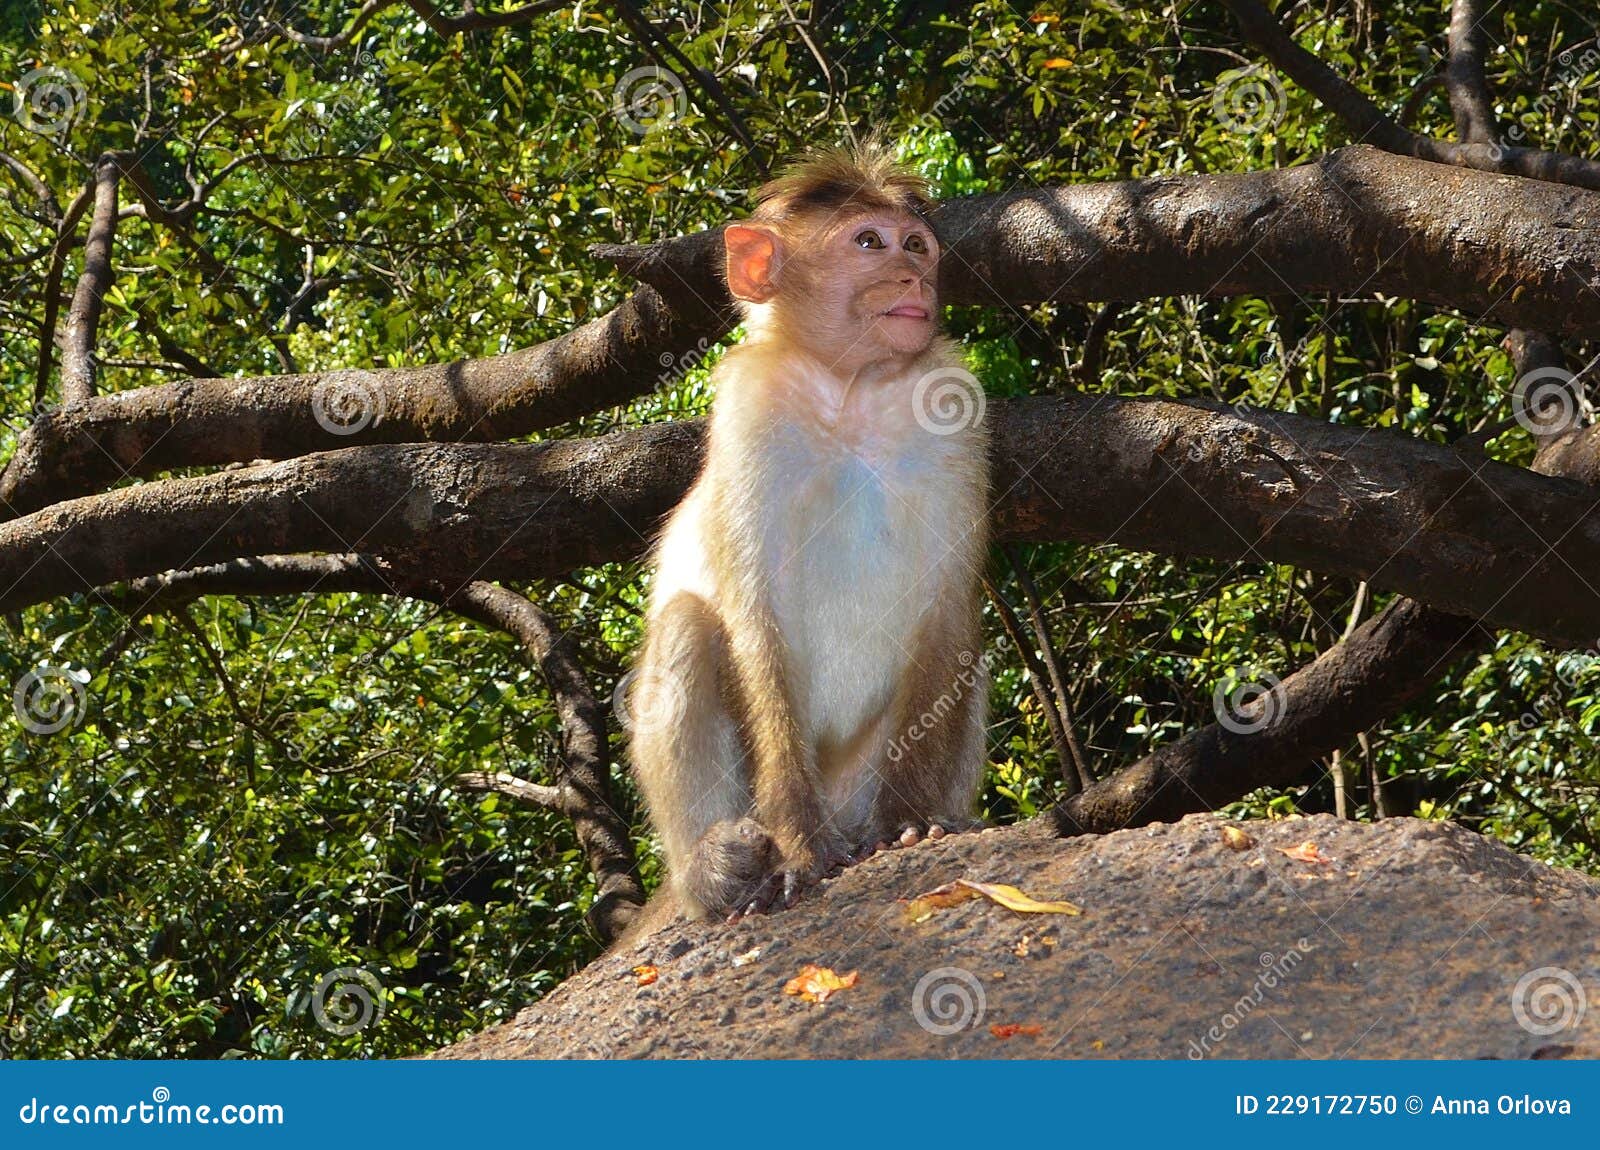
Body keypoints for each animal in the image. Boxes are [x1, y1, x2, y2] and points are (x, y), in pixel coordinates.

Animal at [625, 140, 990, 923]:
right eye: (869, 243)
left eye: (916, 244)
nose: (913, 275)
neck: (851, 389)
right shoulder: (751, 411)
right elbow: (755, 619)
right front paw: (797, 847)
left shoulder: (954, 406)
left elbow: (947, 604)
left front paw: (913, 821)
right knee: (689, 625)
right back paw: (713, 872)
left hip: (858, 776)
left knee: (968, 649)